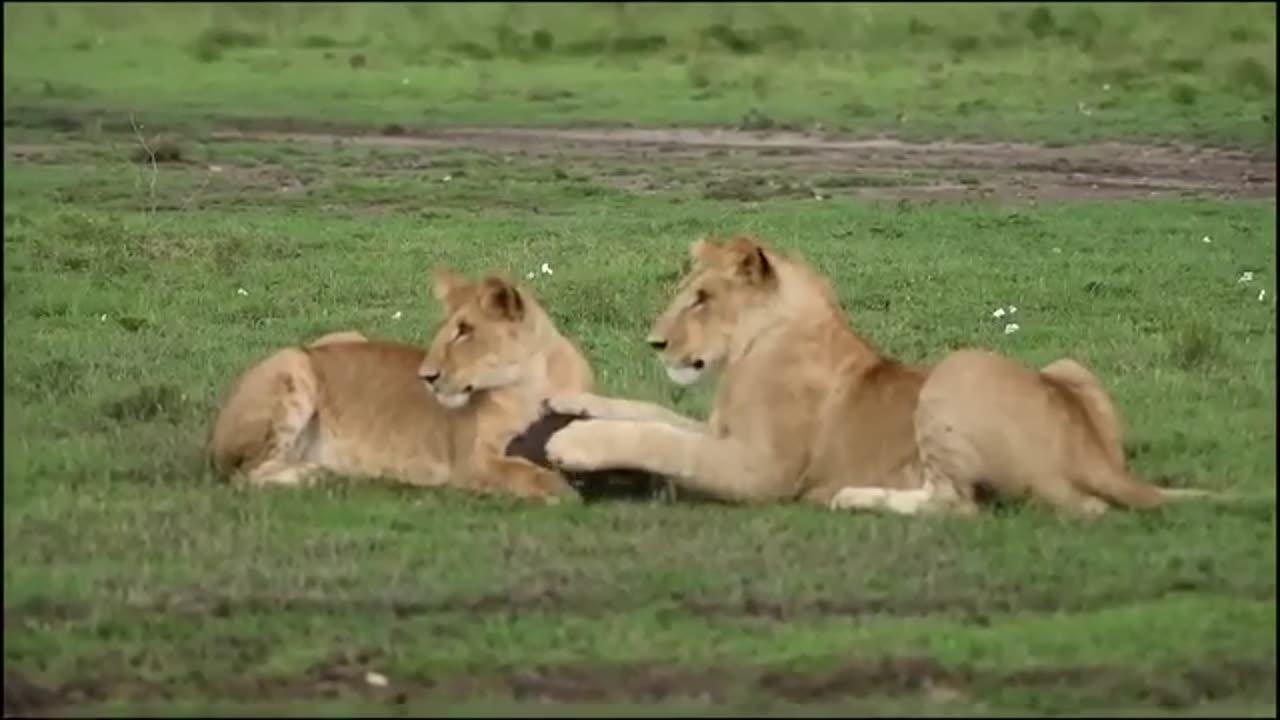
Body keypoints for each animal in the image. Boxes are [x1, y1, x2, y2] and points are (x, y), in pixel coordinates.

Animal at [206, 269, 591, 504]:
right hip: (296, 365)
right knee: (242, 476)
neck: (534, 379)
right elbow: (522, 471)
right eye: (445, 329)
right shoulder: (472, 461)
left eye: (465, 330)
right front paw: (566, 492)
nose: (427, 376)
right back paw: (316, 474)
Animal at [540, 233, 1216, 517]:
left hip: (956, 369)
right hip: (1066, 367)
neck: (761, 341)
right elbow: (651, 412)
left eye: (703, 298)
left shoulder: (761, 469)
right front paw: (570, 398)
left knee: (965, 507)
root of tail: (1097, 456)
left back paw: (852, 497)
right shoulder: (723, 433)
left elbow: (660, 438)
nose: (655, 342)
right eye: (685, 292)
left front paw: (573, 441)